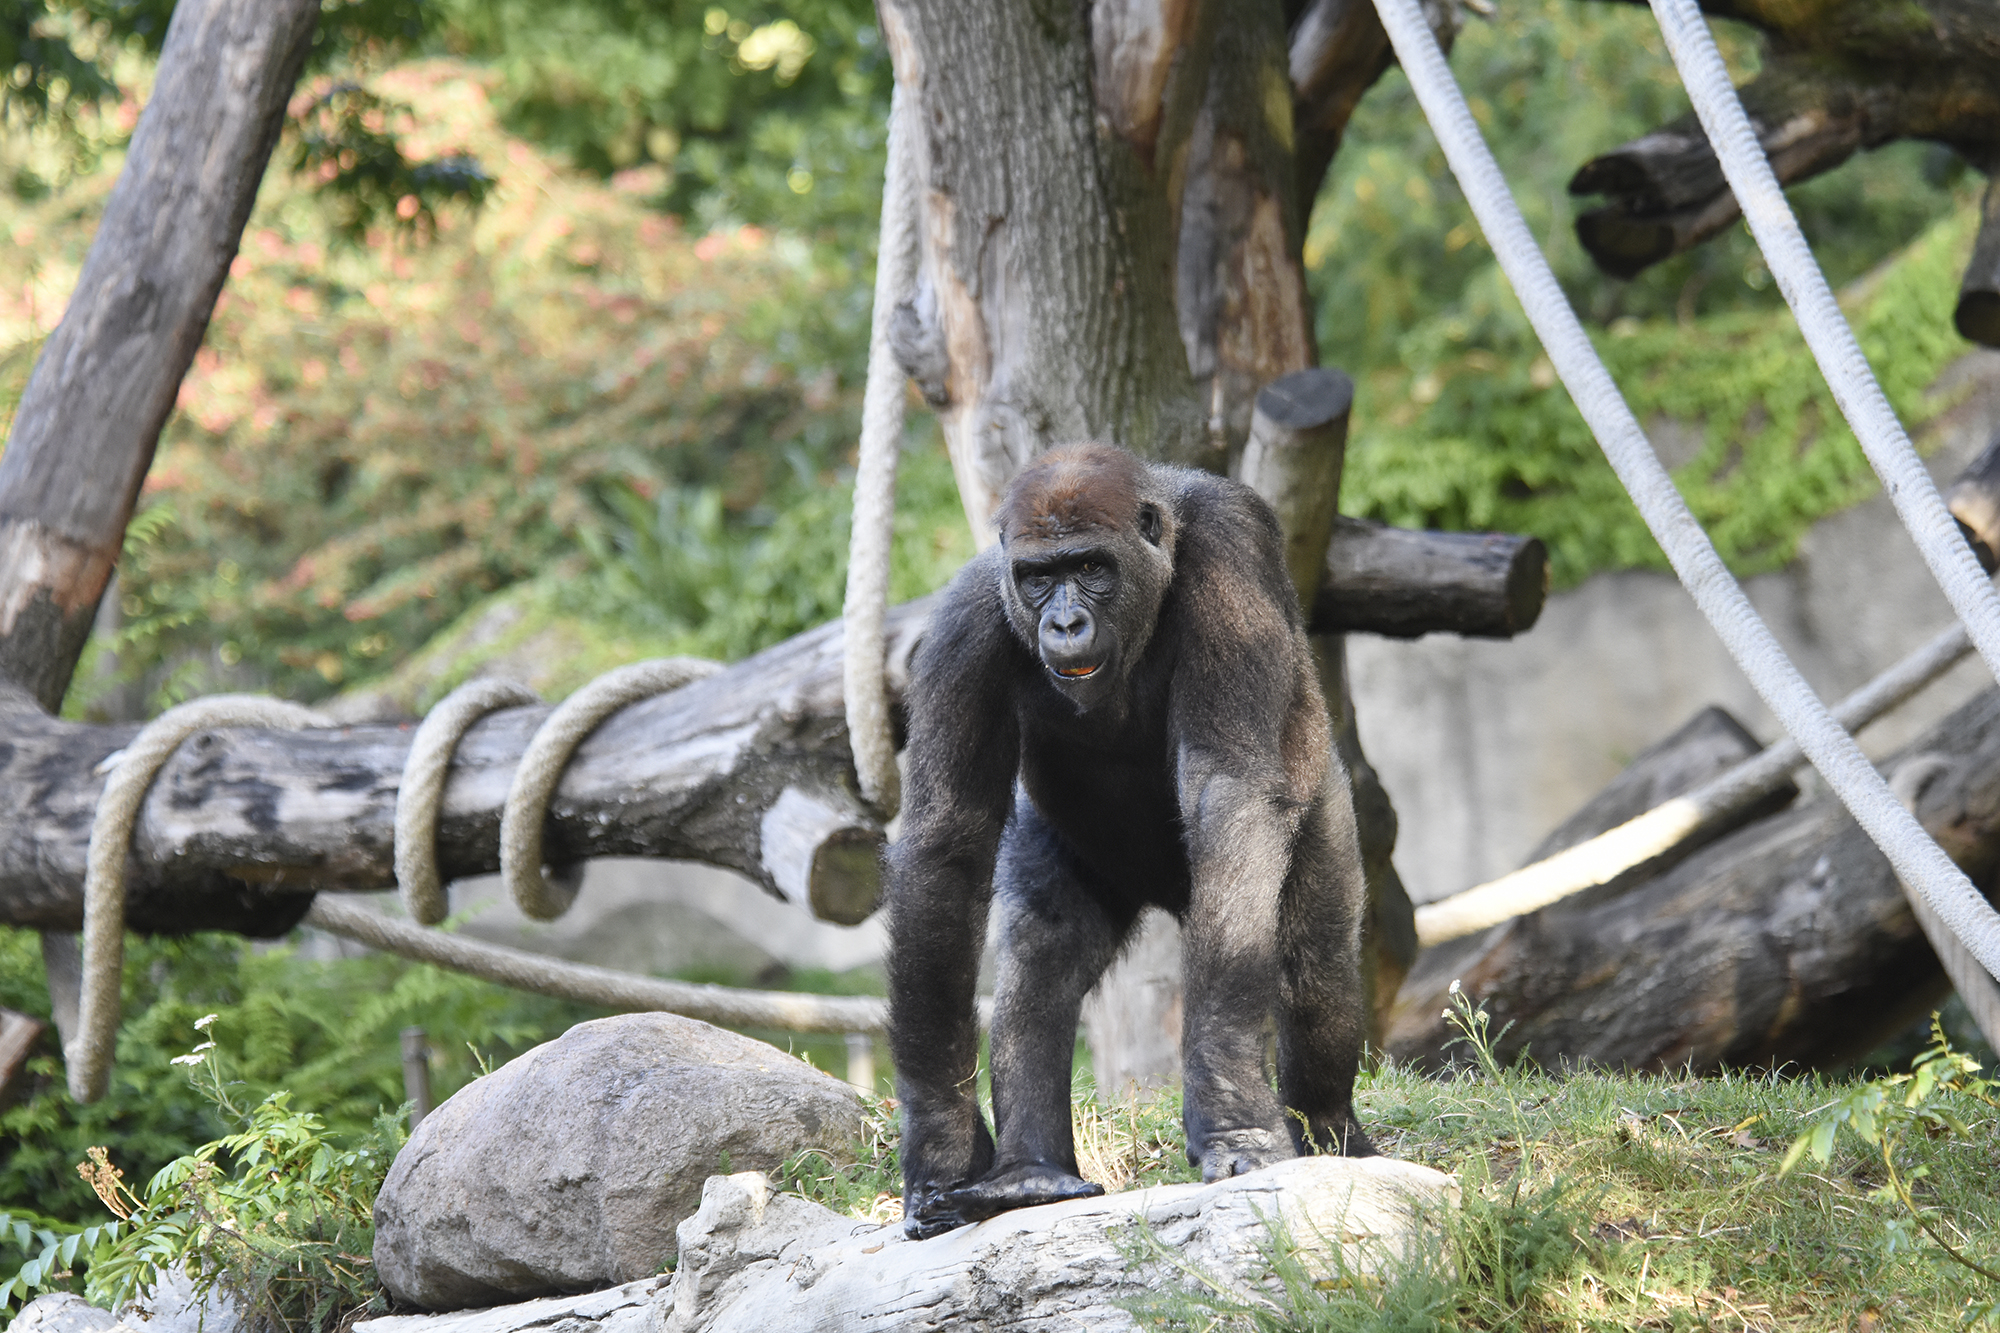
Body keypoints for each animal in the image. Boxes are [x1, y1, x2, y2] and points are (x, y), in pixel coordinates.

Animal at [886, 441, 1376, 1239]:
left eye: (1091, 567)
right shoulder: (966, 621)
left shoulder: (1229, 549)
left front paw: (1232, 1119)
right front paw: (940, 1143)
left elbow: (1229, 791)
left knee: (1316, 967)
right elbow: (945, 846)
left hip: (1323, 800)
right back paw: (1029, 1173)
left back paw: (1333, 1132)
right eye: (1039, 578)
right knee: (1045, 955)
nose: (1064, 624)